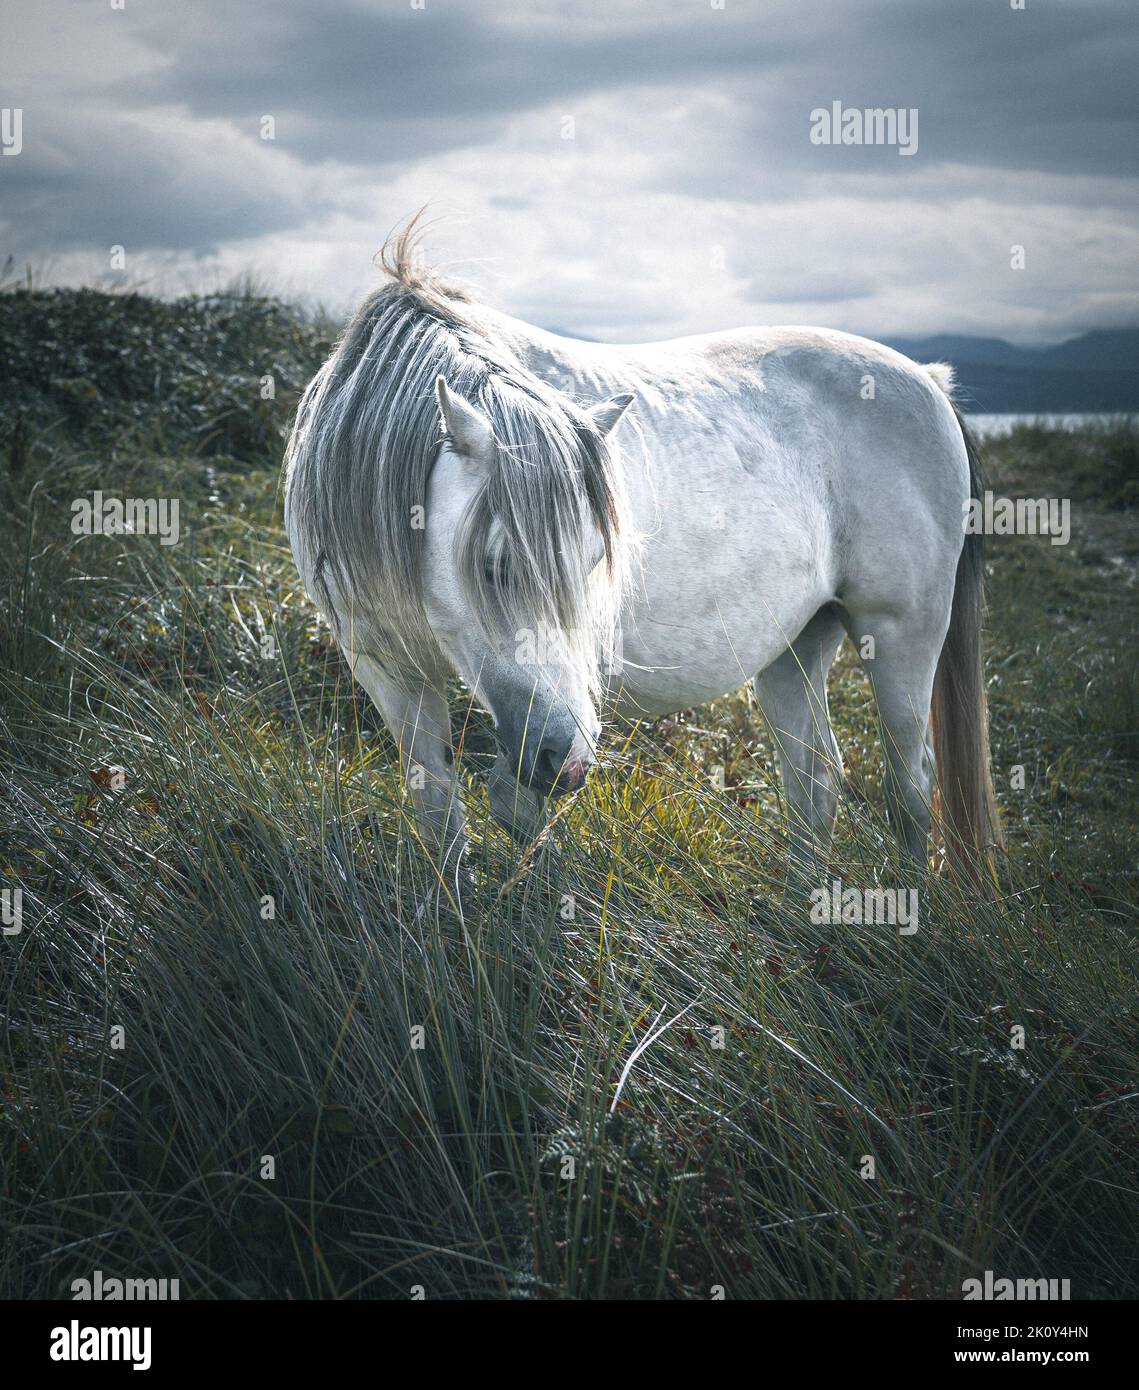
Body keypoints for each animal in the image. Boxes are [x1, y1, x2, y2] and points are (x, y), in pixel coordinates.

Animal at [284, 225, 999, 882]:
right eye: (496, 566)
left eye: (597, 560)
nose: (569, 763)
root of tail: (928, 380)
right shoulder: (388, 670)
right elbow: (438, 806)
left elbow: (512, 804)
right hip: (796, 646)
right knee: (815, 783)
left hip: (899, 633)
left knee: (911, 783)